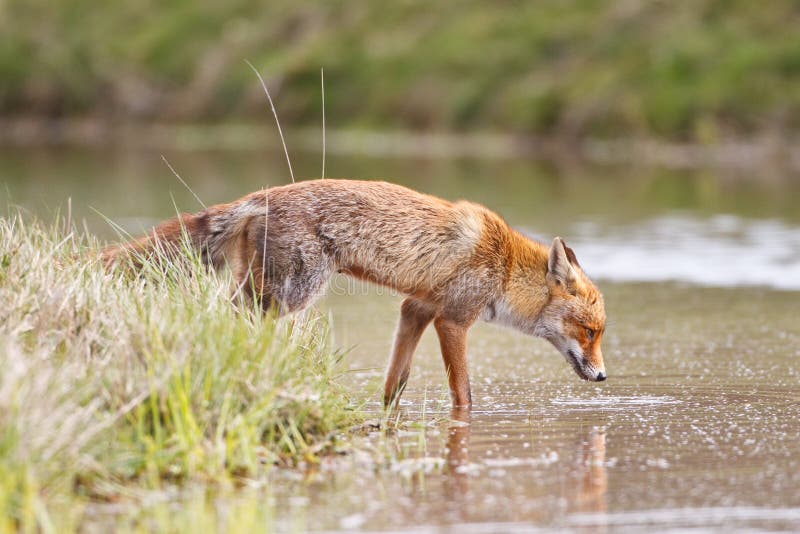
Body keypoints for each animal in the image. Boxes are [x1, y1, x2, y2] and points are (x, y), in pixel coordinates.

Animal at [102, 179, 607, 408]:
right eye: (588, 331)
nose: (603, 377)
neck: (503, 267)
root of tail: (260, 196)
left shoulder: (416, 308)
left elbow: (395, 381)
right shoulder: (452, 320)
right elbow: (462, 392)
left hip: (265, 289)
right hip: (288, 294)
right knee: (223, 317)